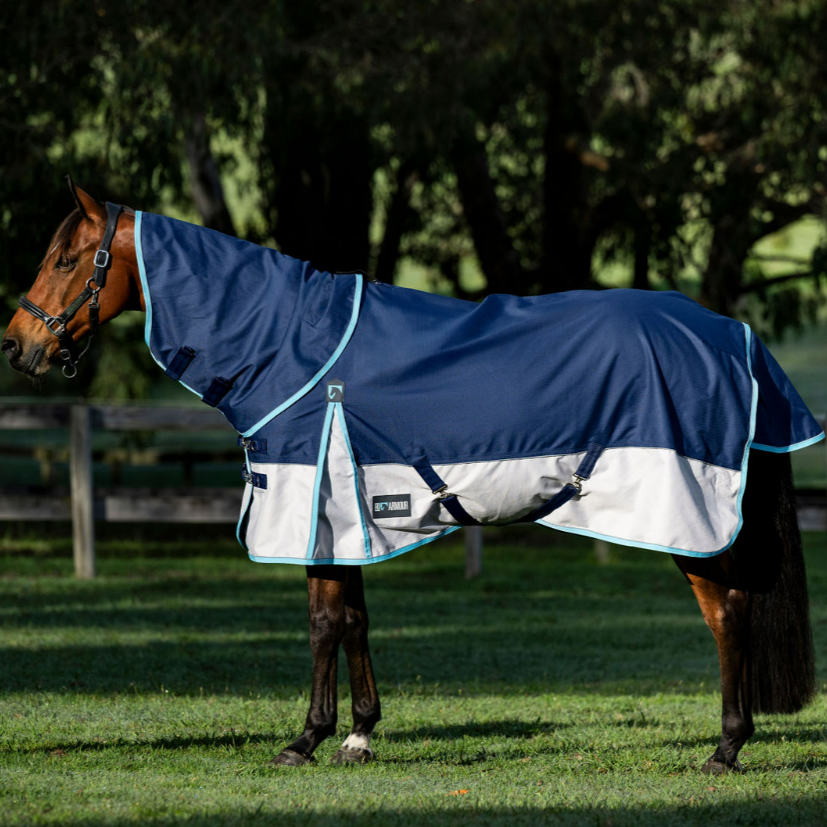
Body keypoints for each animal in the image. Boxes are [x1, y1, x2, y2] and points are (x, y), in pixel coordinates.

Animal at [2, 182, 818, 773]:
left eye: (68, 260)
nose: (16, 345)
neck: (290, 348)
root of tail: (734, 336)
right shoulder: (346, 515)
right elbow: (354, 619)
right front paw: (358, 736)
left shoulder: (314, 506)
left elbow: (323, 623)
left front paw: (304, 740)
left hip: (686, 518)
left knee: (728, 615)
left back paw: (725, 748)